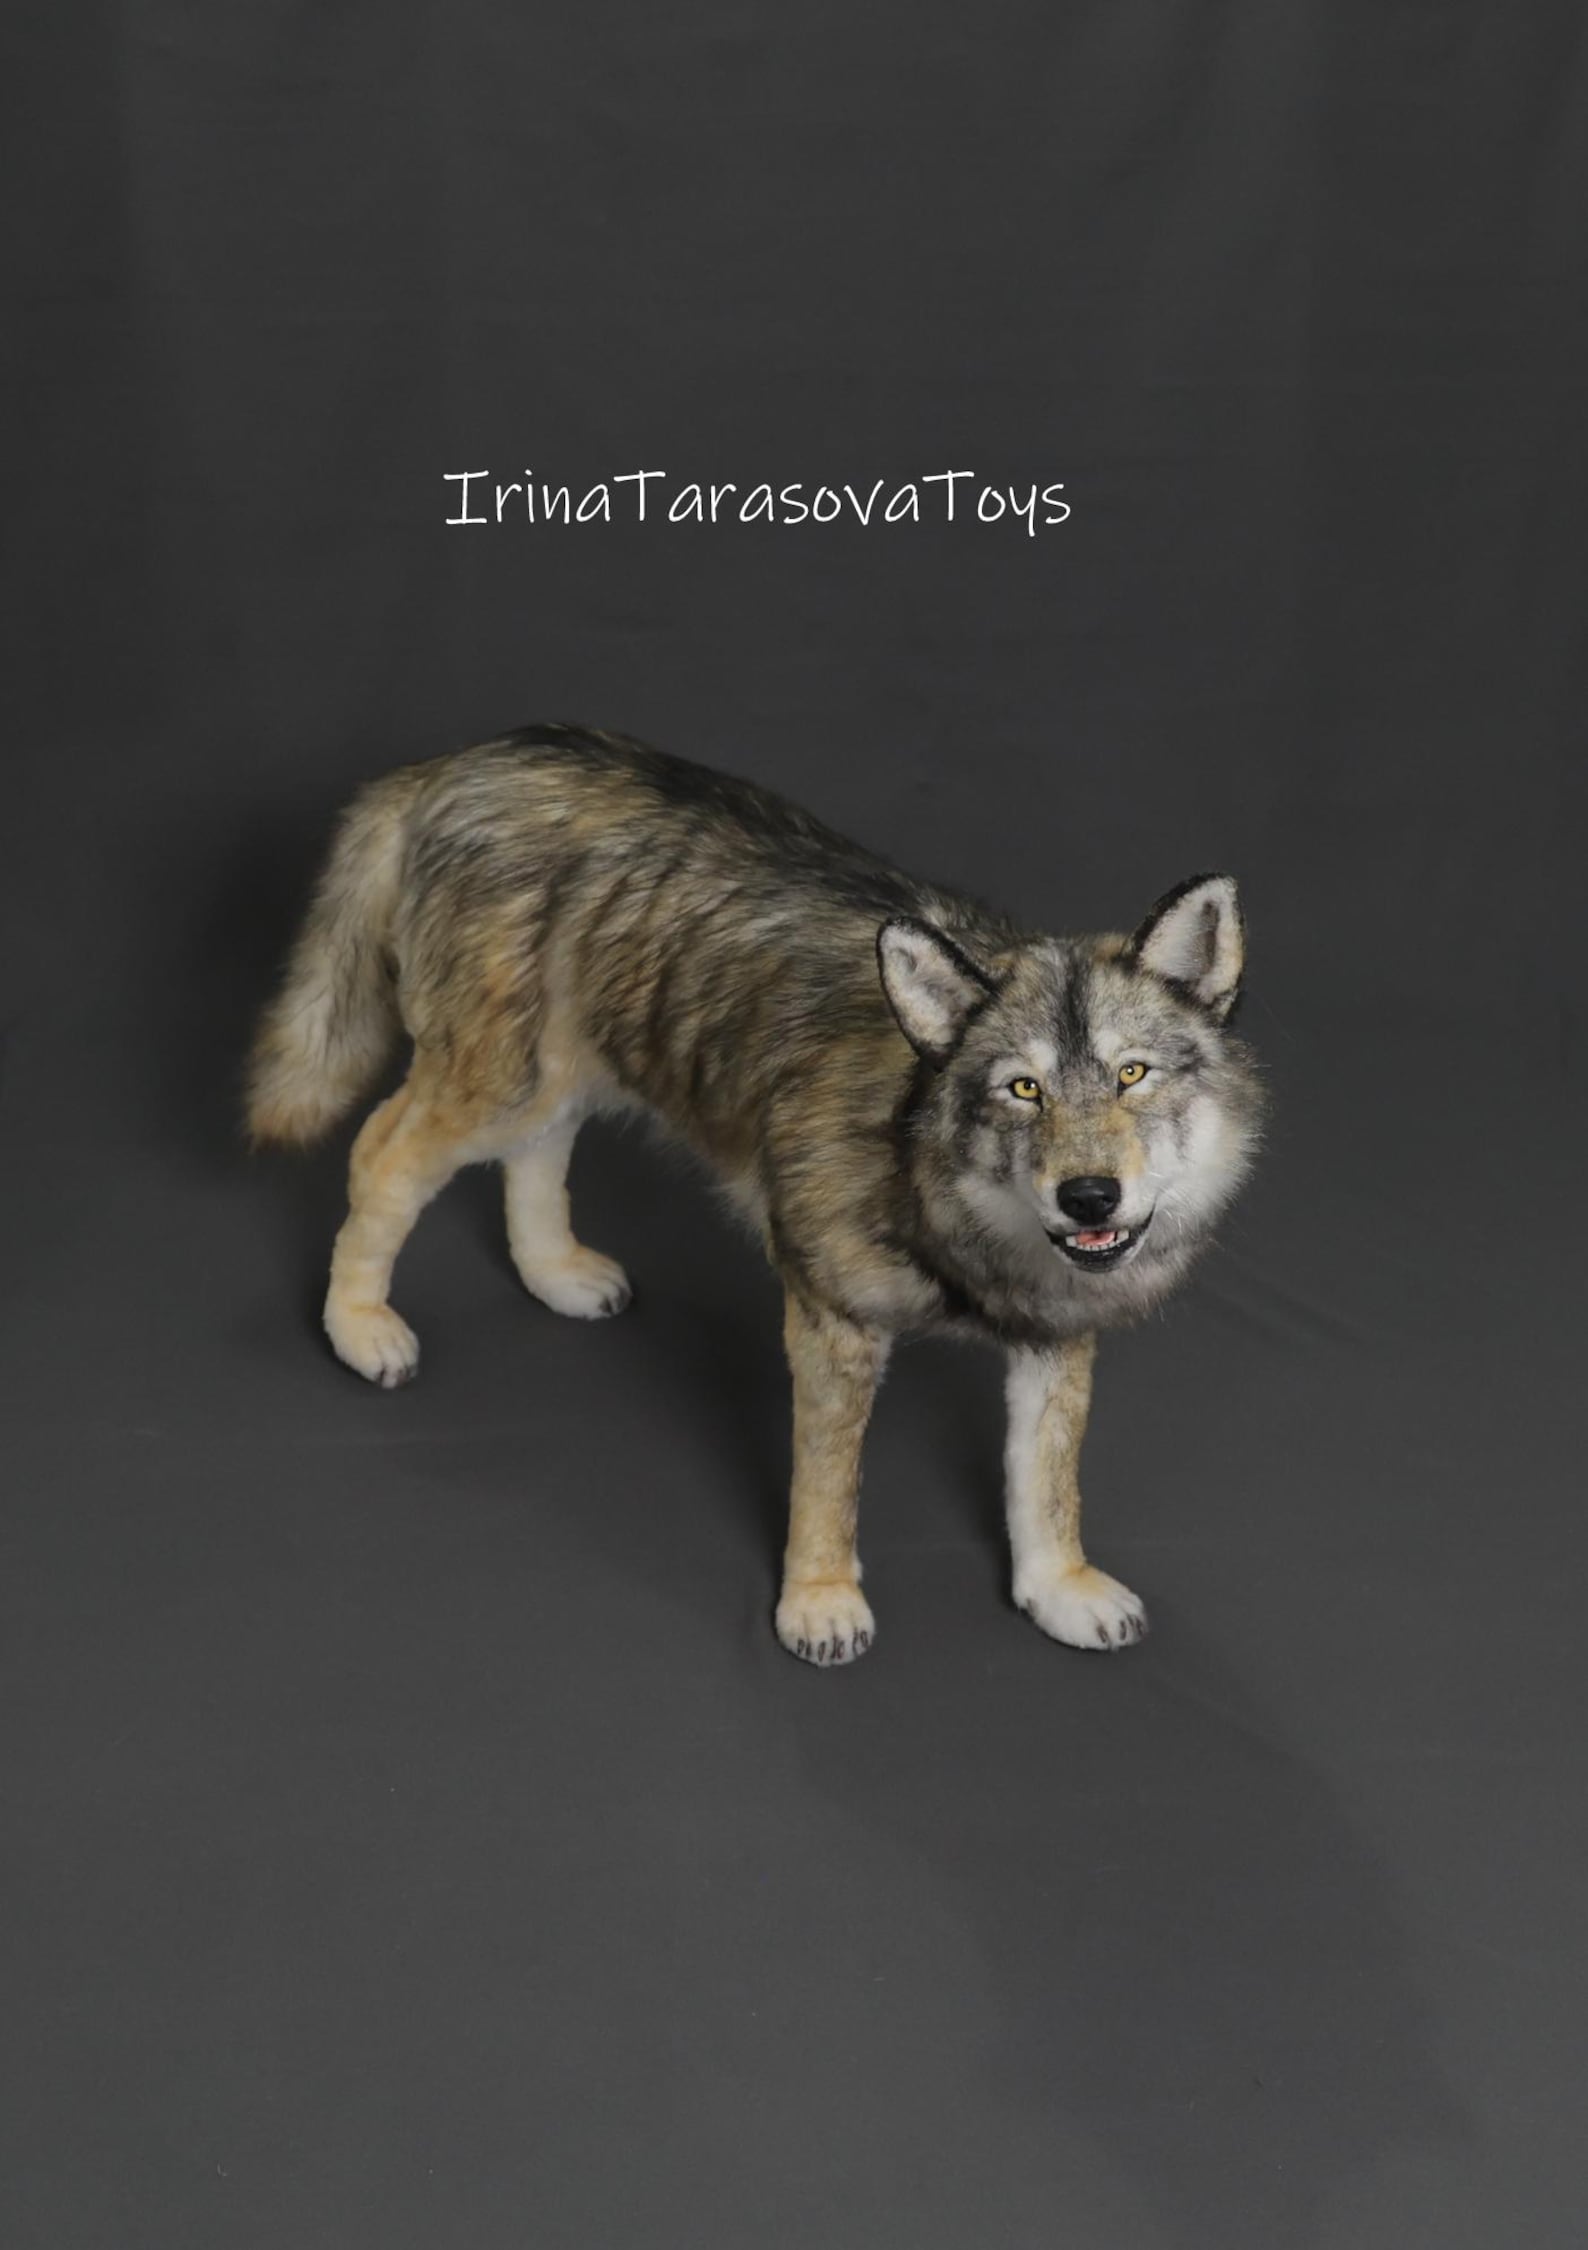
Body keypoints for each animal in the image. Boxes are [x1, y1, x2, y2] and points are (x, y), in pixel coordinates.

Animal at [248, 724, 1263, 1666]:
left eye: (1132, 1074)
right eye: (1024, 1089)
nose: (1090, 1197)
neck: (933, 1183)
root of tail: (455, 761)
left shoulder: (1056, 1340)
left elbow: (1047, 1484)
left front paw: (1059, 1590)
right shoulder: (832, 1323)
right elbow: (827, 1486)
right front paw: (819, 1603)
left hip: (563, 1072)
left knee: (537, 1155)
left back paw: (554, 1273)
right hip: (496, 1087)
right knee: (379, 1156)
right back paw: (358, 1324)